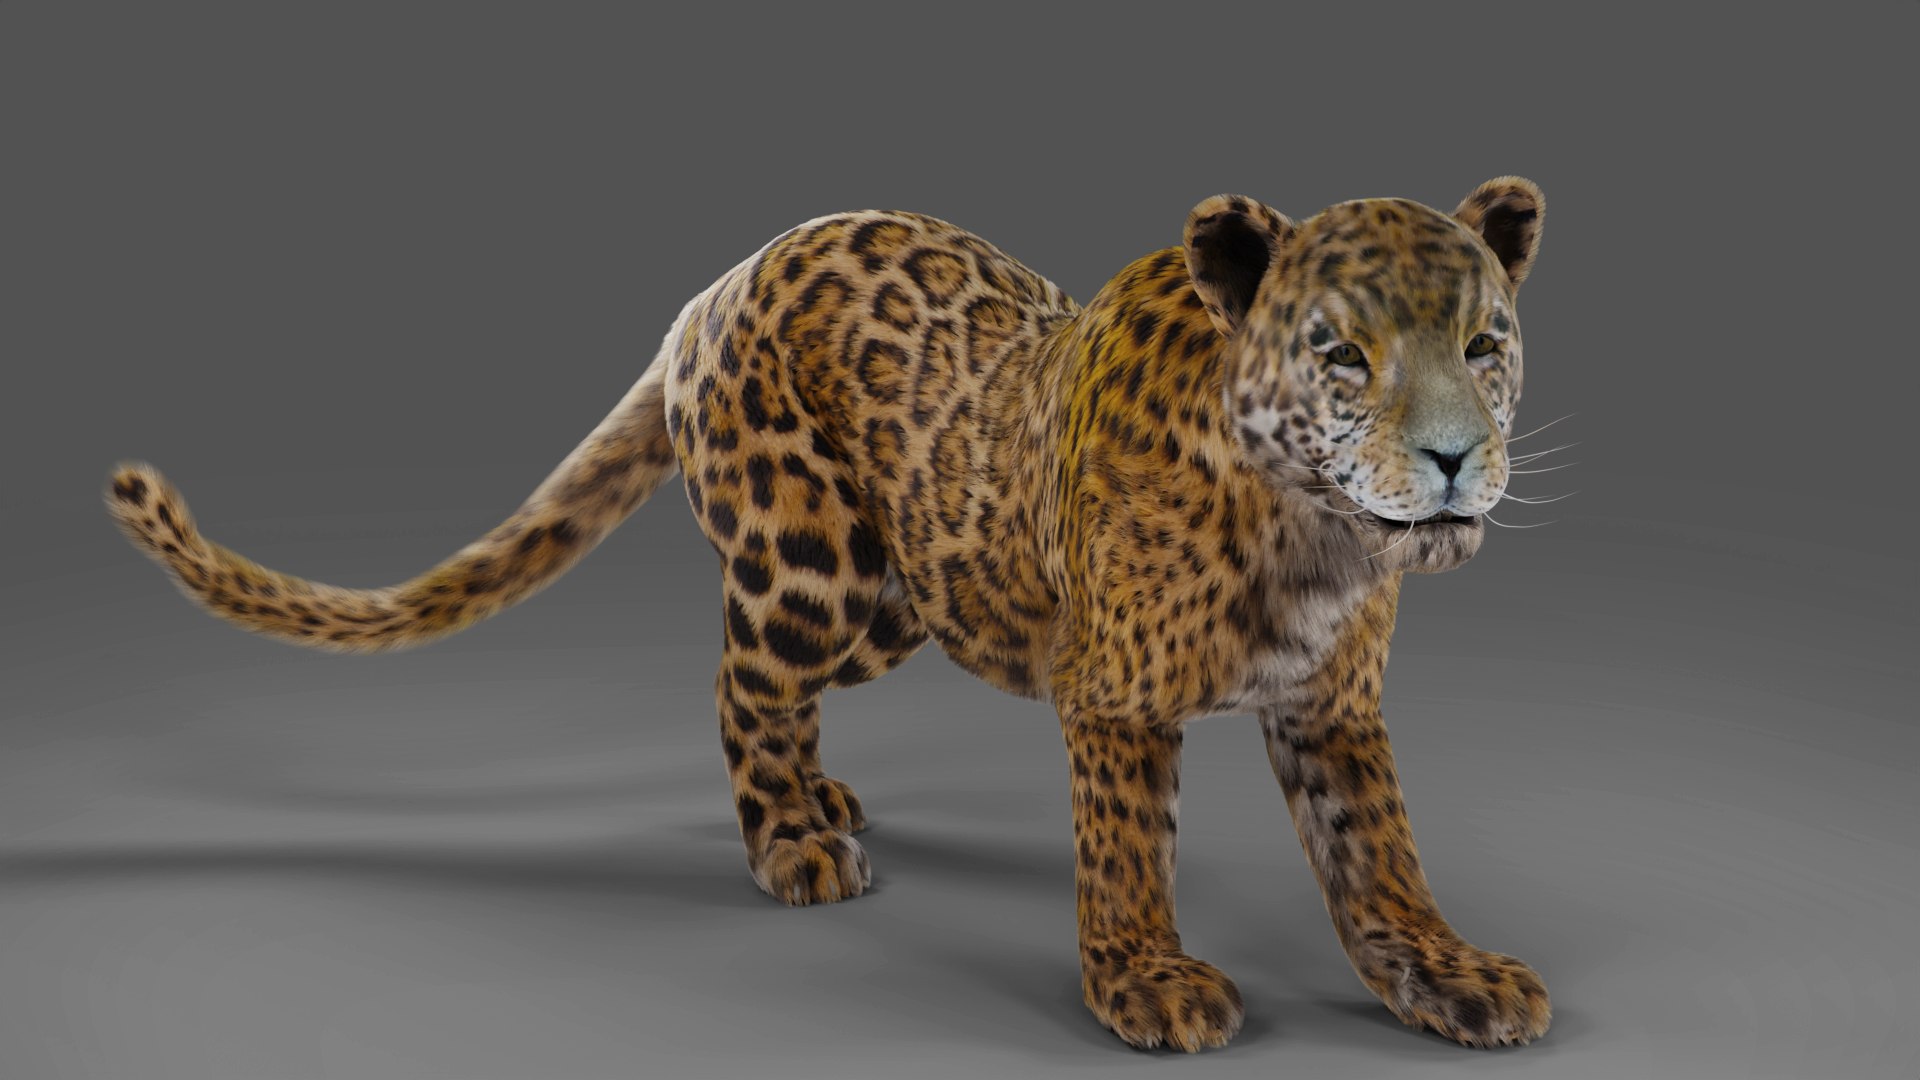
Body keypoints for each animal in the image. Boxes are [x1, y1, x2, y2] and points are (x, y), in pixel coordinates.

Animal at [105, 176, 1552, 1052]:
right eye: (1341, 356)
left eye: (1485, 344)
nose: (1452, 461)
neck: (1313, 536)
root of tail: (720, 283)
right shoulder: (1118, 700)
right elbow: (1131, 849)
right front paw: (1147, 981)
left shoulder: (1331, 707)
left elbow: (1379, 853)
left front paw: (1452, 974)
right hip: (822, 571)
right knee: (743, 681)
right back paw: (794, 839)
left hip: (908, 591)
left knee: (781, 694)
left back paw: (823, 802)